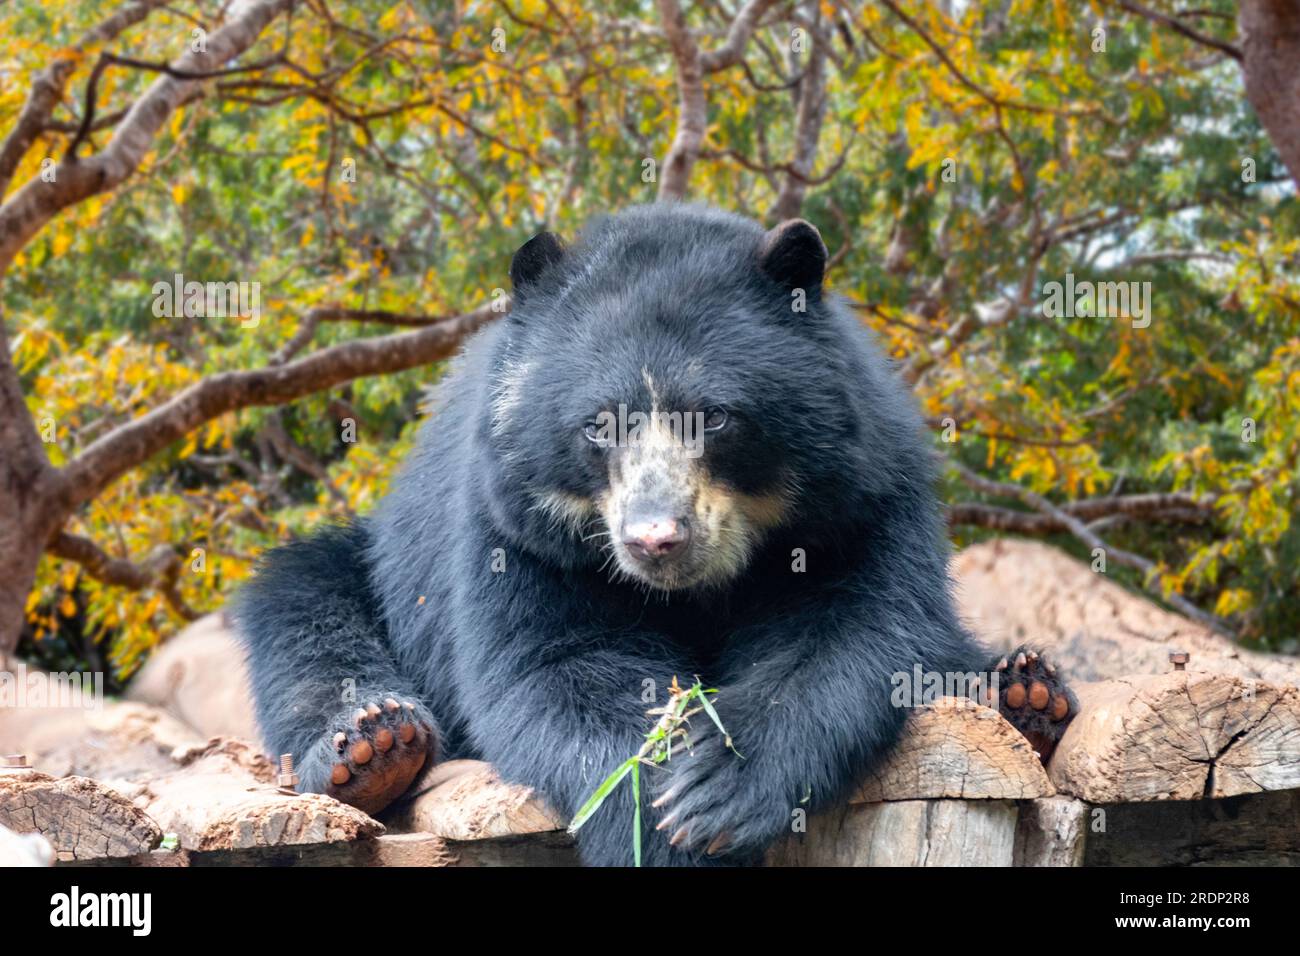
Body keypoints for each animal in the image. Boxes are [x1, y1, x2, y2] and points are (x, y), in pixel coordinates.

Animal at [231, 203, 1076, 867]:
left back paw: (1024, 692)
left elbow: (854, 628)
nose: (655, 540)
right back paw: (375, 745)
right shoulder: (516, 531)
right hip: (372, 576)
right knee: (306, 614)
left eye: (719, 418)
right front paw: (659, 815)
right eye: (597, 426)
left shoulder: (863, 499)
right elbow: (557, 662)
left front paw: (716, 789)